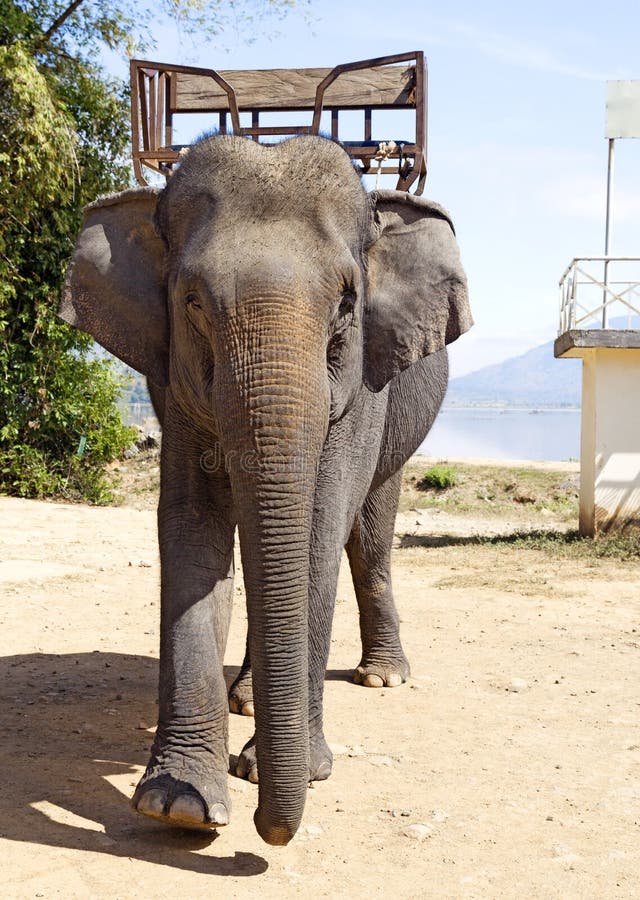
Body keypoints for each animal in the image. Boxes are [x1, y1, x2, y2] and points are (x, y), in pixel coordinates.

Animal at [59, 133, 471, 846]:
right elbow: (191, 527)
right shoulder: (172, 385)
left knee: (368, 541)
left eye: (346, 302)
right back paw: (248, 701)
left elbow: (318, 531)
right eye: (192, 302)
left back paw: (382, 677)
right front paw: (179, 804)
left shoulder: (360, 386)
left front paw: (291, 771)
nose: (265, 829)